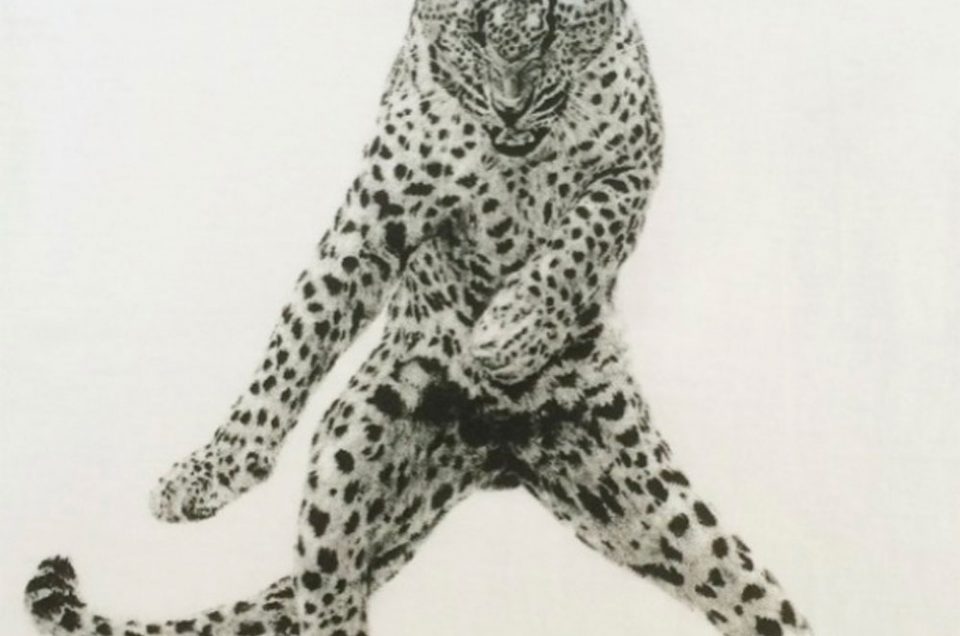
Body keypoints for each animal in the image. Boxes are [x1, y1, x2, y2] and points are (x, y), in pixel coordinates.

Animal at [25, 1, 814, 635]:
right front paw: (214, 467)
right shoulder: (373, 219)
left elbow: (582, 234)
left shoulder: (633, 168)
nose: (510, 107)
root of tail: (493, 457)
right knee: (327, 591)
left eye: (556, 23)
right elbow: (299, 329)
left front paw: (509, 330)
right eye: (473, 27)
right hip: (348, 456)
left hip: (653, 504)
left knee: (755, 598)